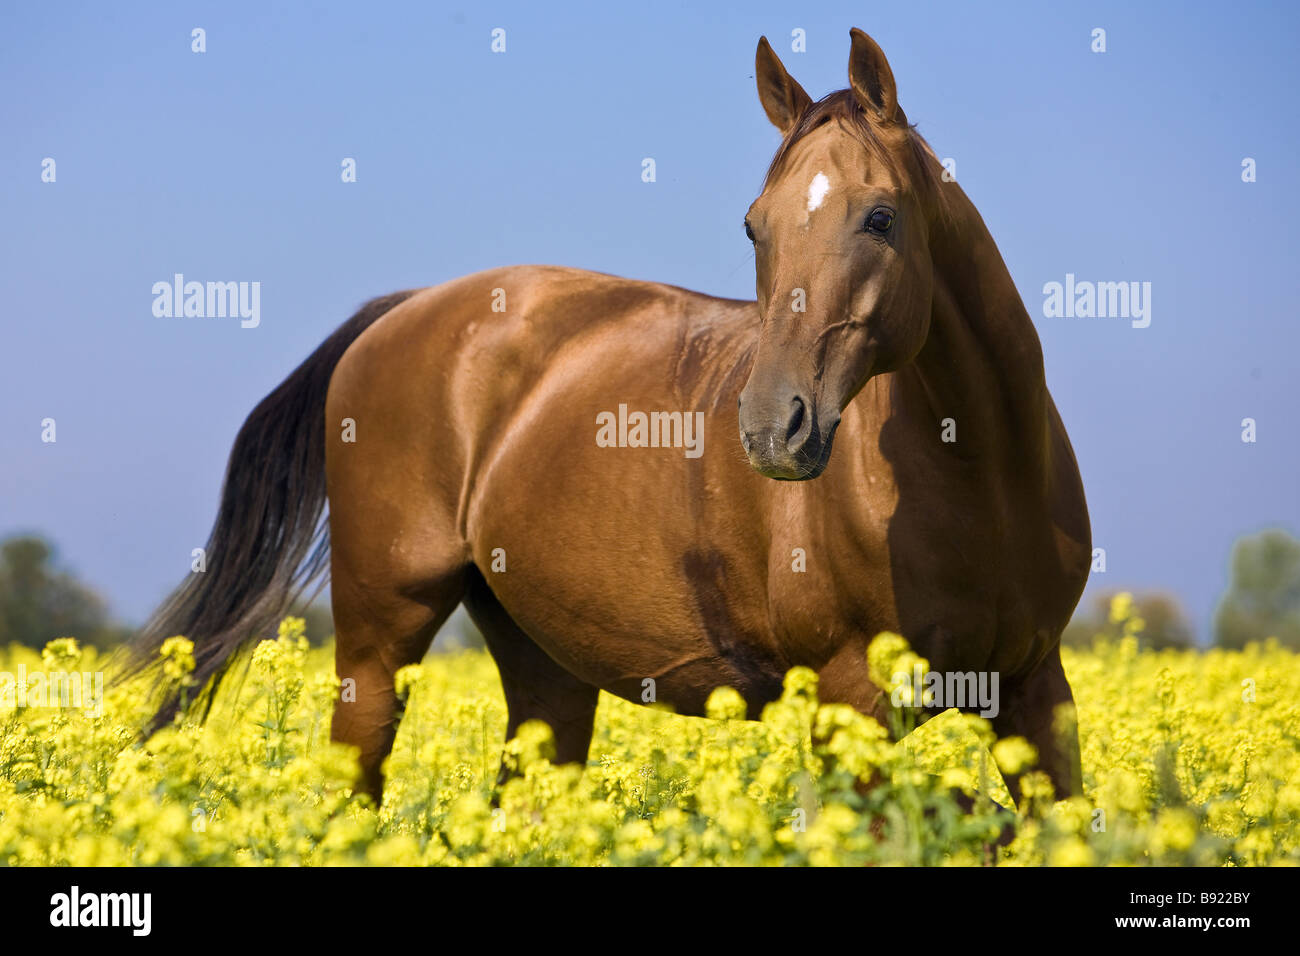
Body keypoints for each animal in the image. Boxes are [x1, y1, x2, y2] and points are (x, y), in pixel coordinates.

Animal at [133, 29, 1091, 809]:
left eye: (881, 217)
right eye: (755, 228)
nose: (770, 428)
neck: (980, 478)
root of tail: (401, 313)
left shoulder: (1033, 688)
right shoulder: (852, 703)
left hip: (543, 668)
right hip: (377, 648)